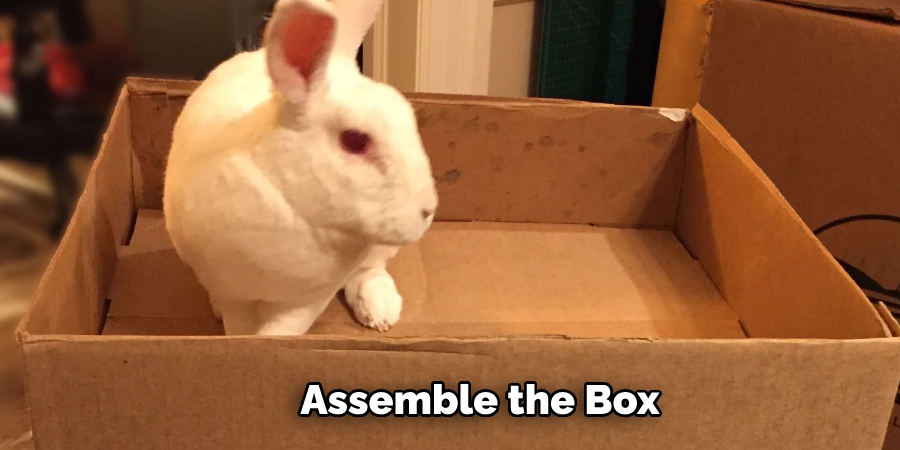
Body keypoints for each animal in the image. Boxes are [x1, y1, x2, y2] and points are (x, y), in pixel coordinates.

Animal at [162, 0, 437, 336]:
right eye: (355, 140)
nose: (428, 210)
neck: (292, 202)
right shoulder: (233, 294)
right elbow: (239, 330)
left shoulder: (306, 303)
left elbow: (280, 332)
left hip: (379, 253)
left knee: (371, 269)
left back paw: (379, 311)